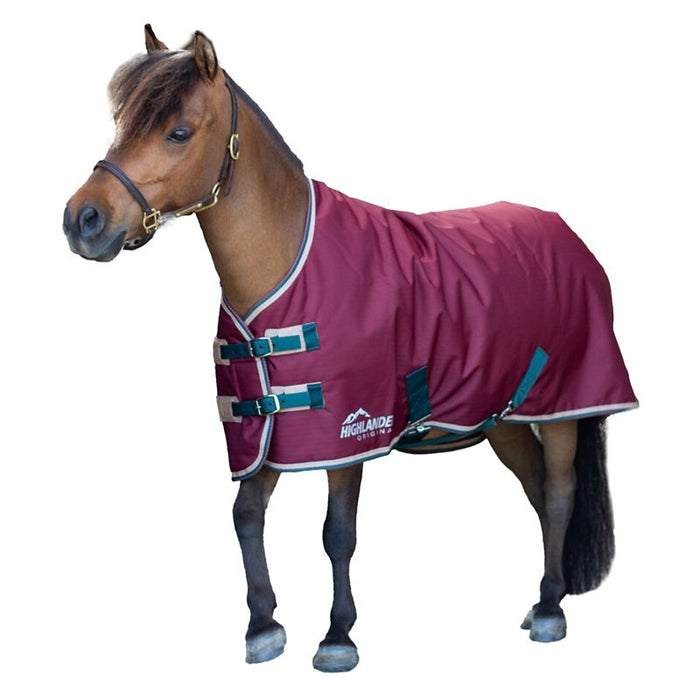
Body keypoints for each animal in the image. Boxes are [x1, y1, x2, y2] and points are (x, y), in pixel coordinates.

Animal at [63, 26, 638, 673]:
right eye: (120, 122)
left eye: (178, 132)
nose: (83, 220)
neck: (287, 263)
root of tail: (572, 238)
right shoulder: (268, 429)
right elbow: (245, 517)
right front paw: (263, 626)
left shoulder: (349, 434)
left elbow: (338, 533)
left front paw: (338, 636)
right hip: (502, 418)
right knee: (538, 492)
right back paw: (544, 594)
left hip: (563, 406)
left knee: (560, 495)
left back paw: (549, 611)